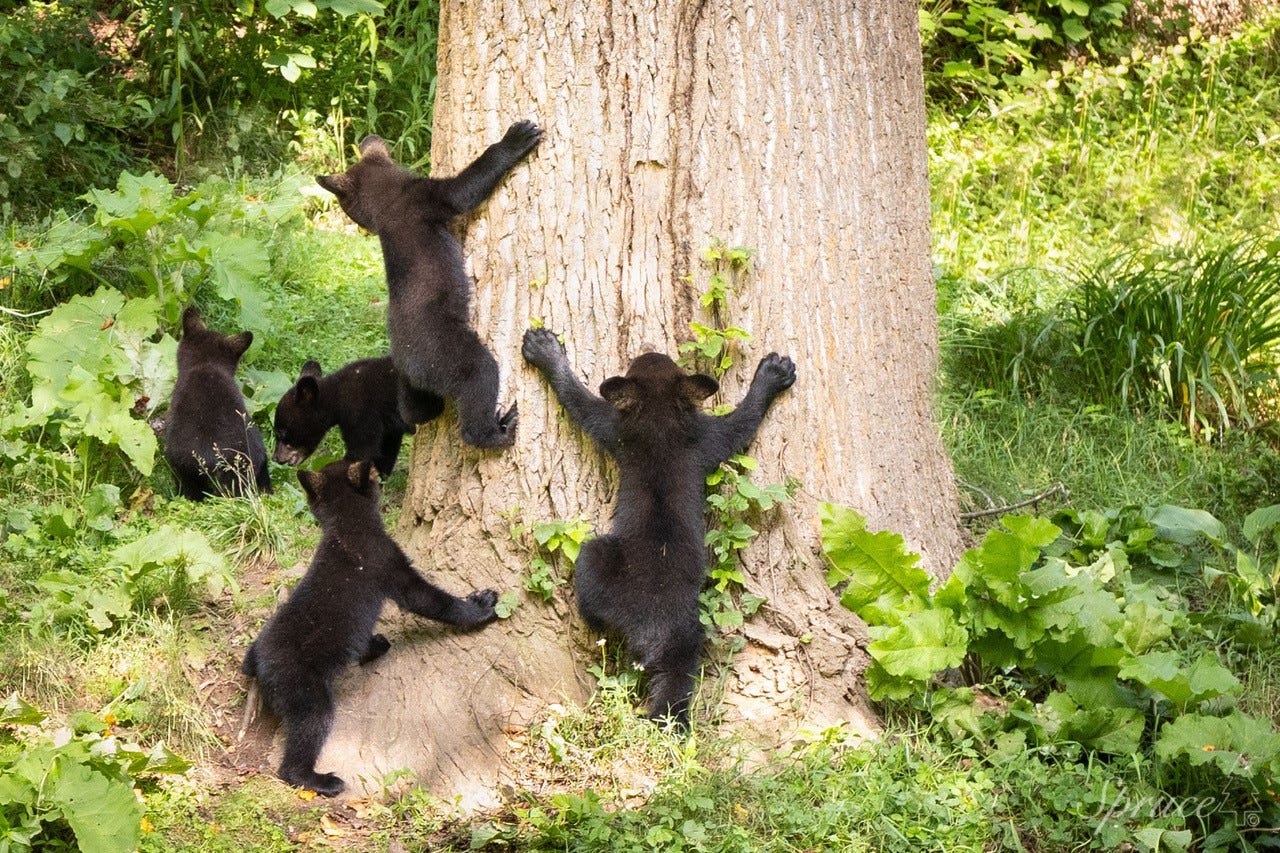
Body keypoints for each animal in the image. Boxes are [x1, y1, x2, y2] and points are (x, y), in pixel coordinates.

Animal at [241, 459, 500, 797]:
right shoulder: (391, 565)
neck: (347, 524)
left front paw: (376, 644)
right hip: (304, 688)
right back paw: (322, 780)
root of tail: (259, 664)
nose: (379, 474)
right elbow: (432, 600)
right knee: (302, 743)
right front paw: (482, 606)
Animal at [272, 356, 427, 476]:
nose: (276, 458)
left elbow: (361, 451)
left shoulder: (362, 414)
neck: (339, 397)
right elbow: (386, 450)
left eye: (281, 433)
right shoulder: (388, 426)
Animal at [316, 120, 543, 449]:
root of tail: (409, 363)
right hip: (447, 352)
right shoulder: (428, 197)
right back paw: (499, 431)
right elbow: (463, 190)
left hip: (409, 383)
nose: (360, 227)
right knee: (479, 379)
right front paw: (518, 137)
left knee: (415, 410)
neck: (391, 201)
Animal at [521, 327, 797, 726]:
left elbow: (579, 400)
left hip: (598, 562)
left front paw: (544, 349)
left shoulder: (623, 426)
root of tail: (659, 632)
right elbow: (740, 422)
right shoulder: (702, 437)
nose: (649, 348)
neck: (660, 414)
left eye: (650, 360)